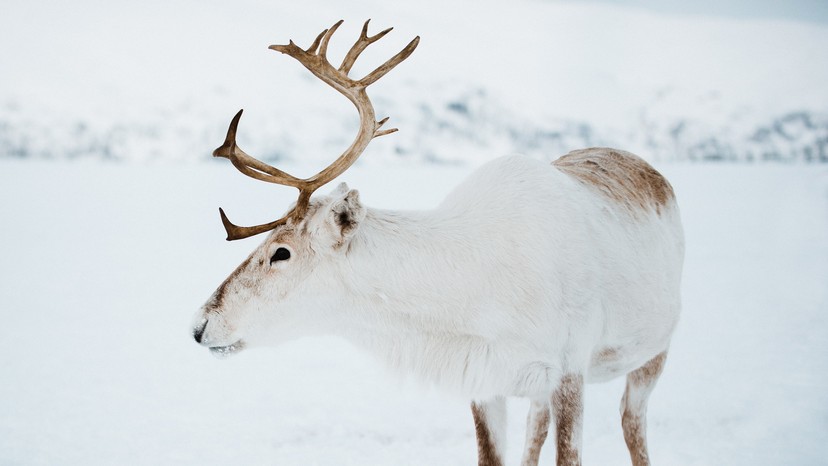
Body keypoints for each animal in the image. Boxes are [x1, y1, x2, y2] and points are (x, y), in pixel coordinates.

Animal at [192, 20, 684, 466]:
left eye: (281, 252)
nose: (200, 324)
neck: (463, 297)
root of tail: (652, 170)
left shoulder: (569, 371)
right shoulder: (485, 381)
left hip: (655, 351)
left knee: (631, 424)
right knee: (536, 430)